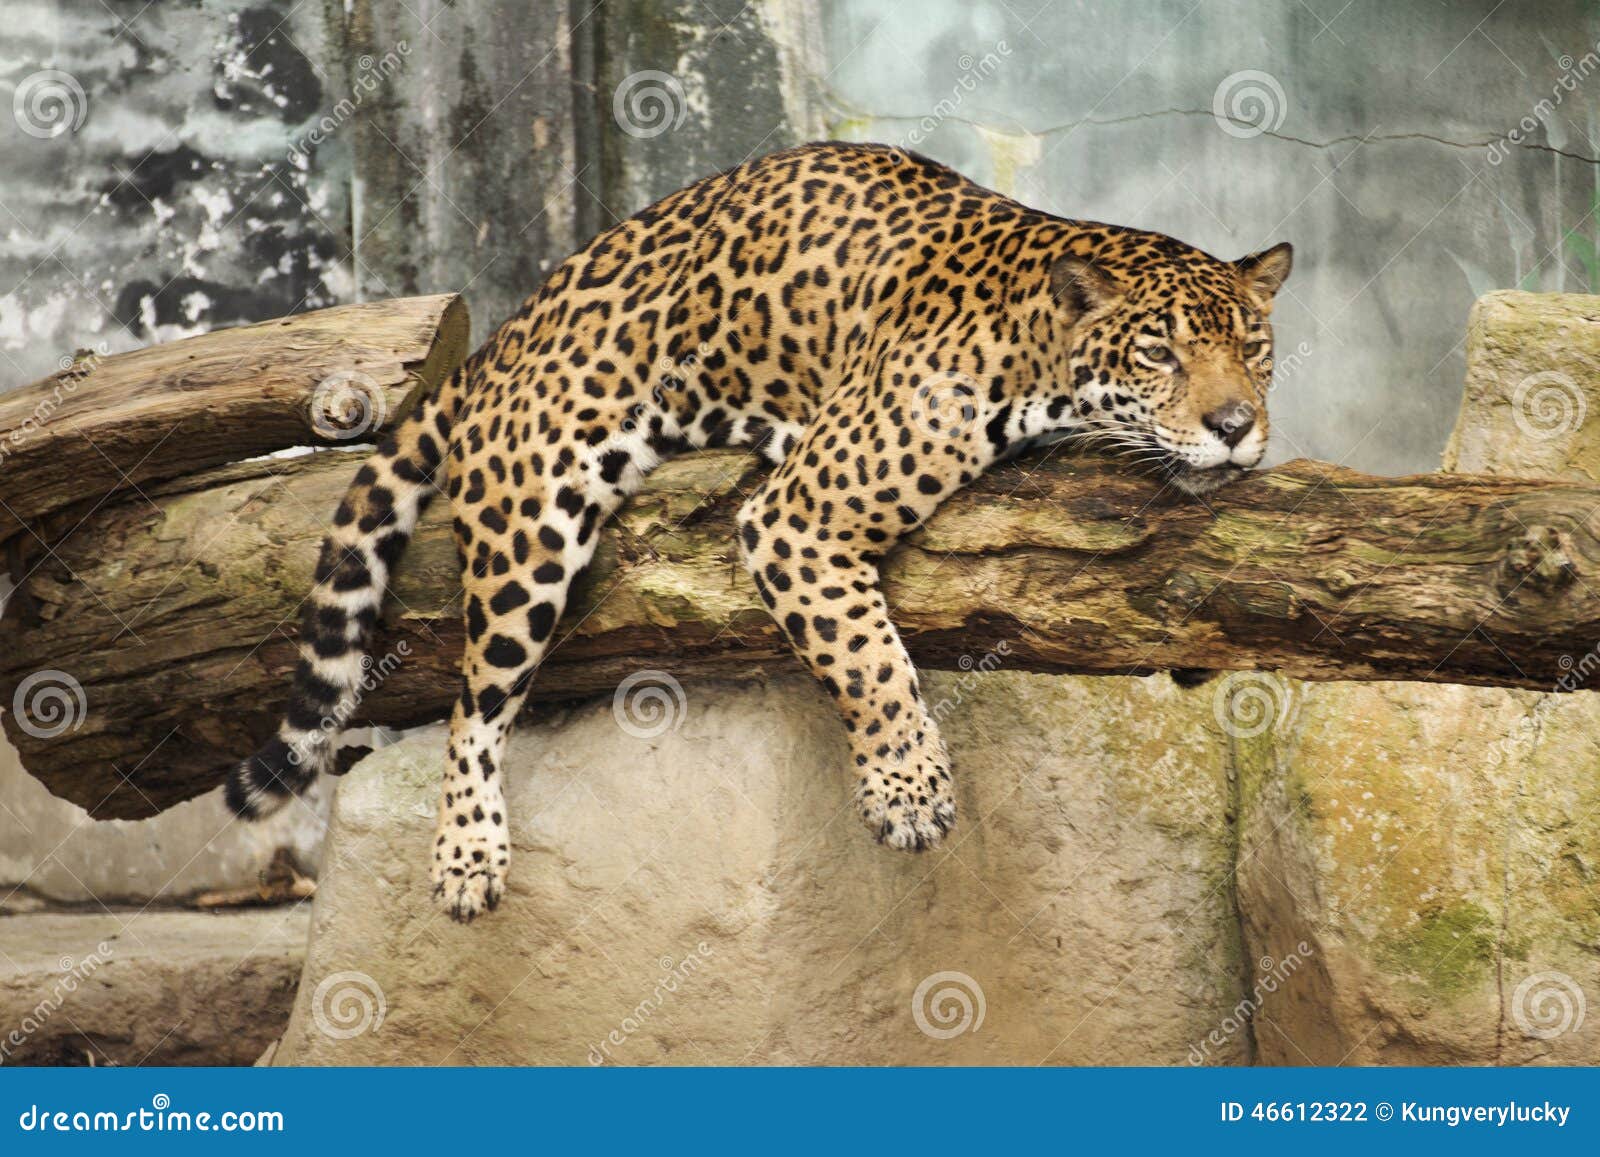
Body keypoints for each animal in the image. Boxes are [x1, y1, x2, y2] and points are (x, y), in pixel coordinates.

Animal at [227, 141, 1292, 922]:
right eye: (1158, 353)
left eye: (1254, 348)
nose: (1237, 425)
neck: (1036, 352)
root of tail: (500, 338)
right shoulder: (799, 515)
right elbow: (868, 657)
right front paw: (909, 792)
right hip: (530, 526)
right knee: (474, 704)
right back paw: (466, 851)